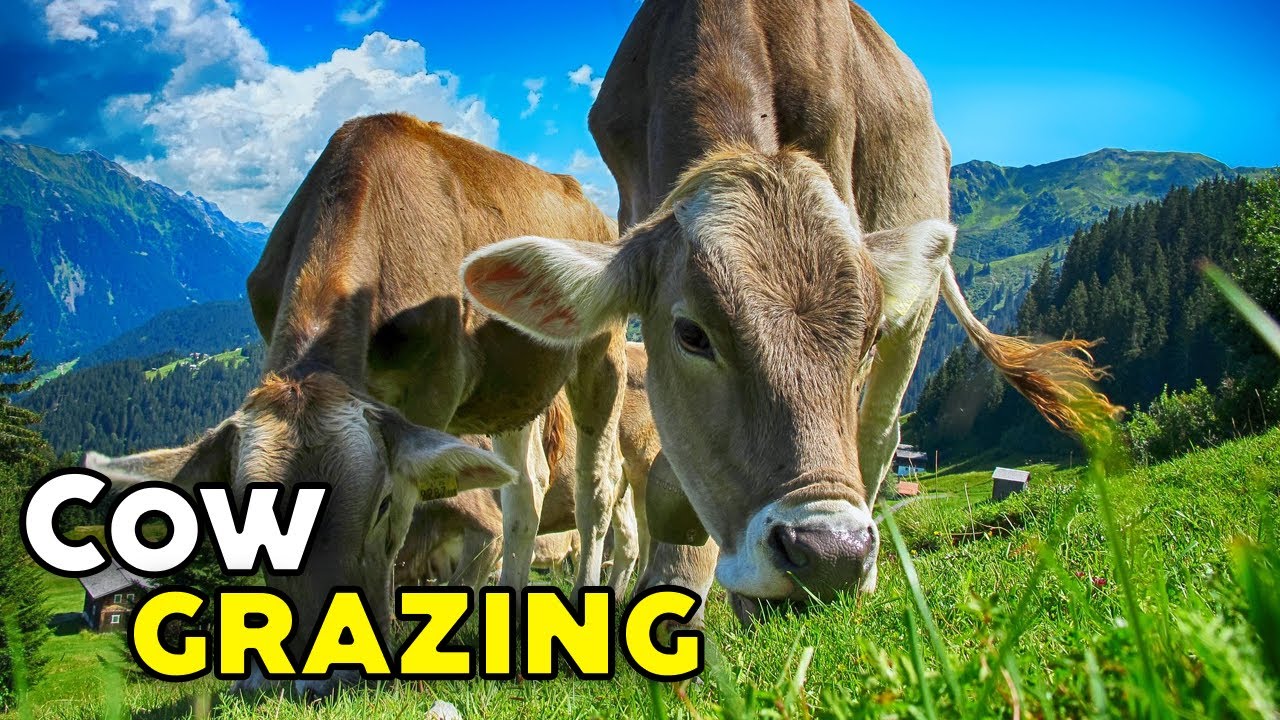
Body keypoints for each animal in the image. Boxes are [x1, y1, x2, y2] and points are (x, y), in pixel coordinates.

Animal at [84, 113, 628, 690]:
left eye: (379, 503)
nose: (316, 677)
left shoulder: (433, 393)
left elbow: (400, 526)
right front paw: (253, 674)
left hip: (602, 352)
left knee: (597, 488)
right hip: (512, 390)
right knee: (526, 490)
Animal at [396, 343, 661, 597]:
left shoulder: (487, 529)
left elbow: (464, 582)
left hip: (644, 467)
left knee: (648, 532)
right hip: (621, 487)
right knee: (628, 540)